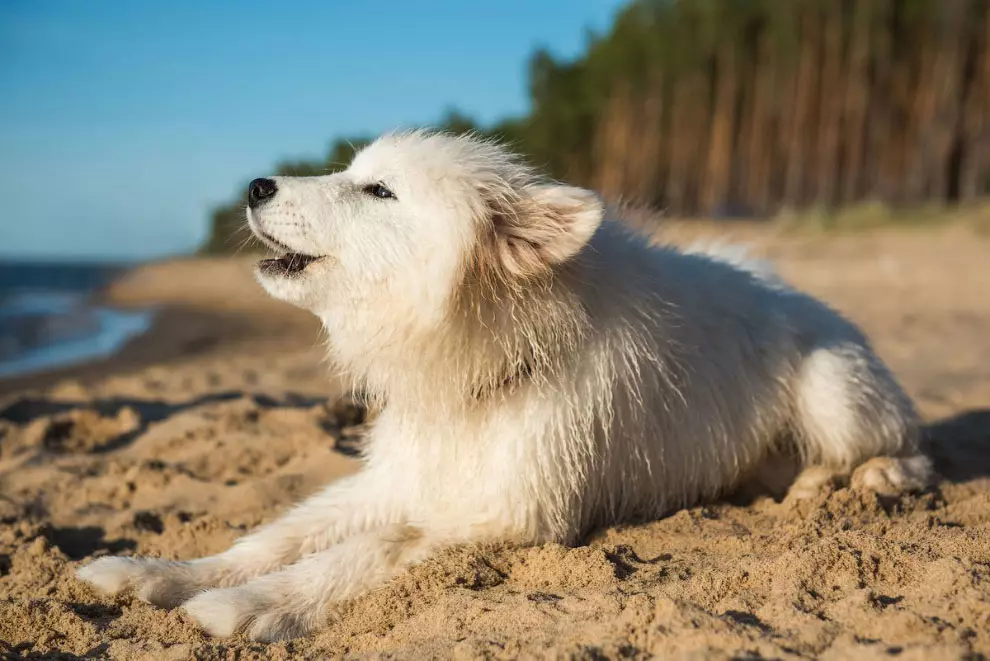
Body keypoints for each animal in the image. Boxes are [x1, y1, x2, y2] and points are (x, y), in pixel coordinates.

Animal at [75, 129, 928, 640]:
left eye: (379, 191)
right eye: (350, 172)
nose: (254, 184)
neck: (477, 354)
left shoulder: (509, 512)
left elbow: (365, 549)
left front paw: (250, 605)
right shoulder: (401, 475)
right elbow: (272, 535)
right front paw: (161, 574)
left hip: (831, 386)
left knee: (900, 446)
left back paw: (855, 480)